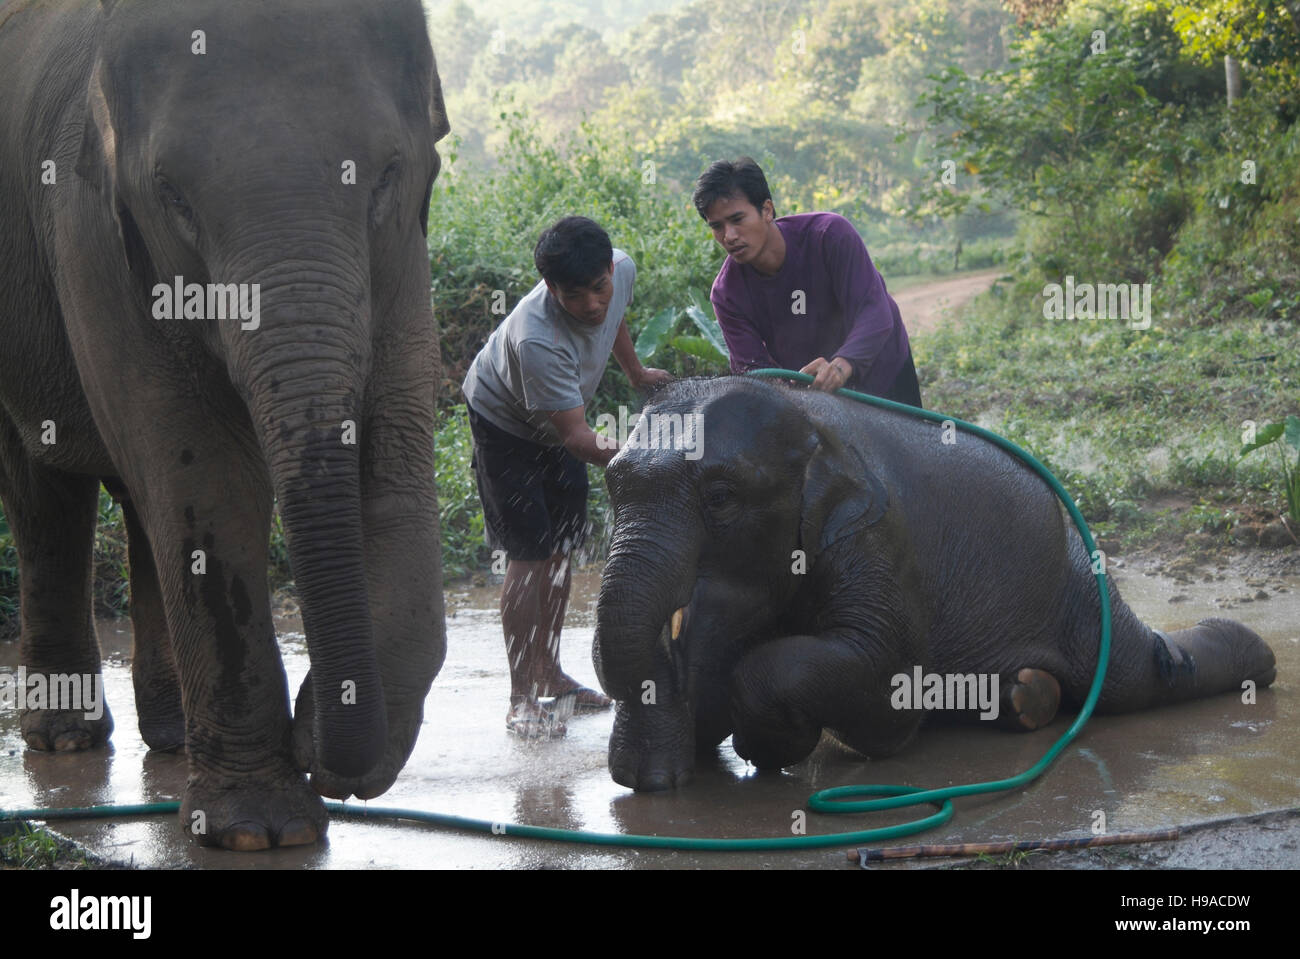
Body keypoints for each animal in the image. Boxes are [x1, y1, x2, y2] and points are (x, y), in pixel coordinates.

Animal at [0, 0, 449, 848]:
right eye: (173, 196)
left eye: (385, 175)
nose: (317, 749)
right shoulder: (91, 232)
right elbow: (204, 465)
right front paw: (258, 830)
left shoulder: (406, 244)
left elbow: (401, 423)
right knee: (47, 486)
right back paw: (67, 738)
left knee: (138, 504)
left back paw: (174, 736)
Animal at [592, 377, 1277, 790]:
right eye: (611, 487)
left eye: (721, 497)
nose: (651, 782)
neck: (810, 423)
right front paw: (661, 773)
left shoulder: (877, 536)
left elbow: (886, 675)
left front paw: (771, 743)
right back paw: (1026, 698)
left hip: (1078, 589)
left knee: (1139, 675)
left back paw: (1256, 664)